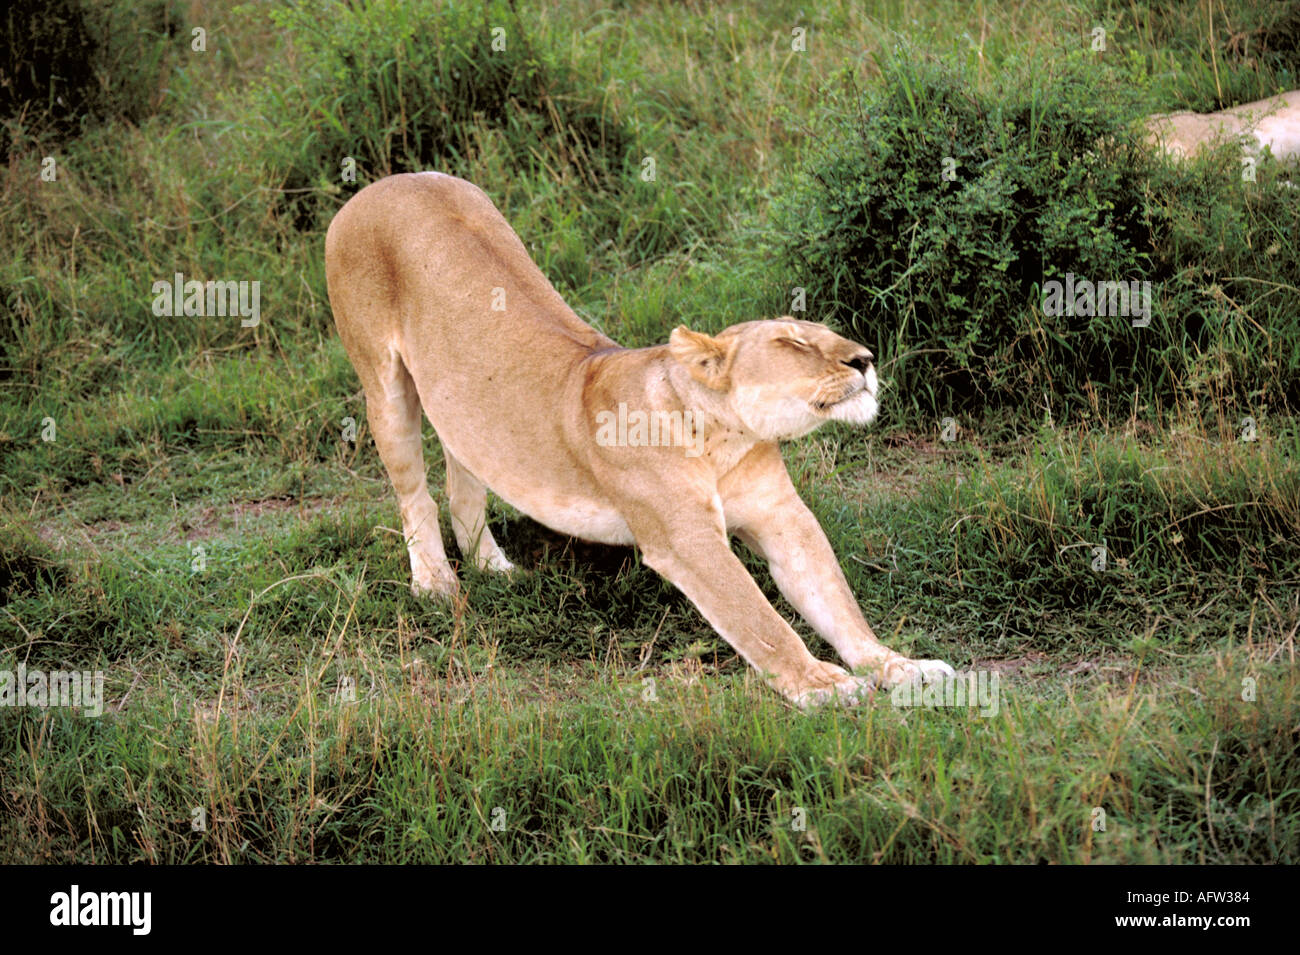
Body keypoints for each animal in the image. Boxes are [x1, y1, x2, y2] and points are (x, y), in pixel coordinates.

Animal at [324, 172, 955, 707]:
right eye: (792, 343)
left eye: (829, 334)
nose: (866, 358)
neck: (723, 440)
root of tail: (388, 181)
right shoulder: (685, 539)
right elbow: (759, 620)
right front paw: (823, 684)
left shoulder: (782, 517)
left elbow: (839, 605)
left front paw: (900, 666)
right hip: (383, 387)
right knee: (413, 492)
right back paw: (435, 584)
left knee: (464, 472)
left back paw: (493, 568)